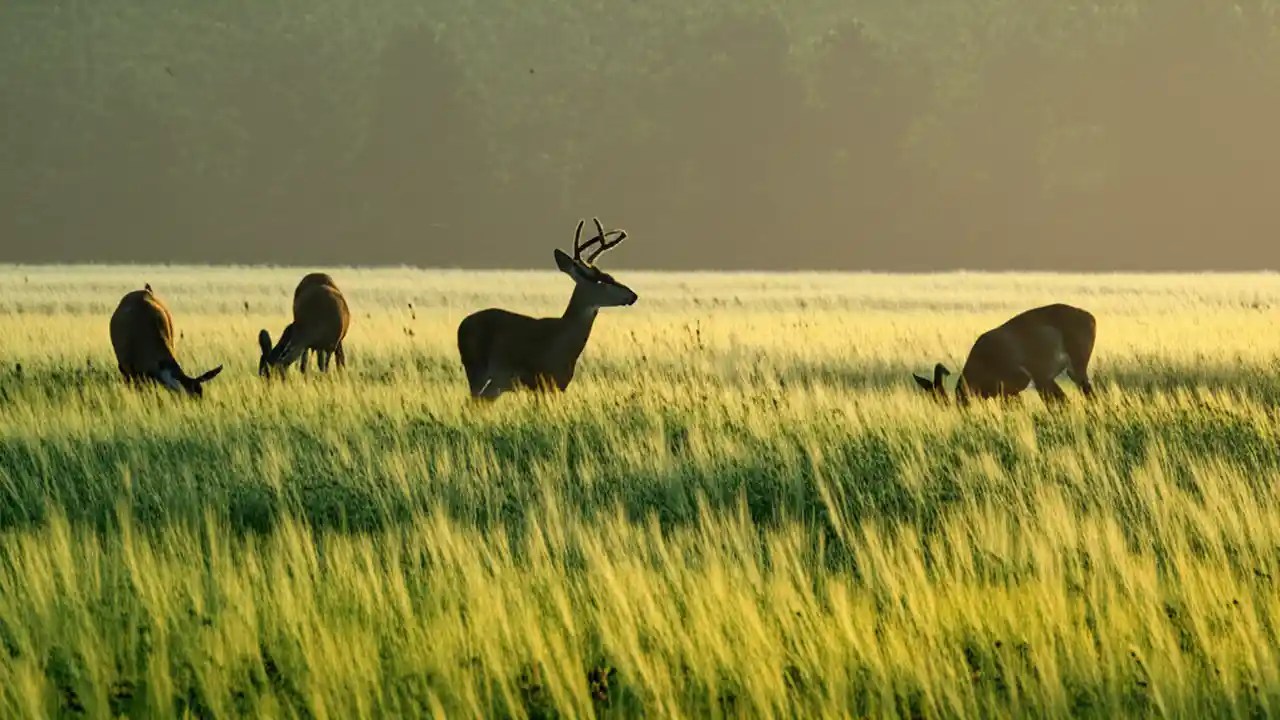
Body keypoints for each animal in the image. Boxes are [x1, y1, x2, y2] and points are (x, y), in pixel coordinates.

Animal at [457, 217, 637, 400]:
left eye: (609, 275)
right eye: (600, 280)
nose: (633, 295)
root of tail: (462, 325)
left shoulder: (559, 384)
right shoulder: (540, 382)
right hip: (481, 372)